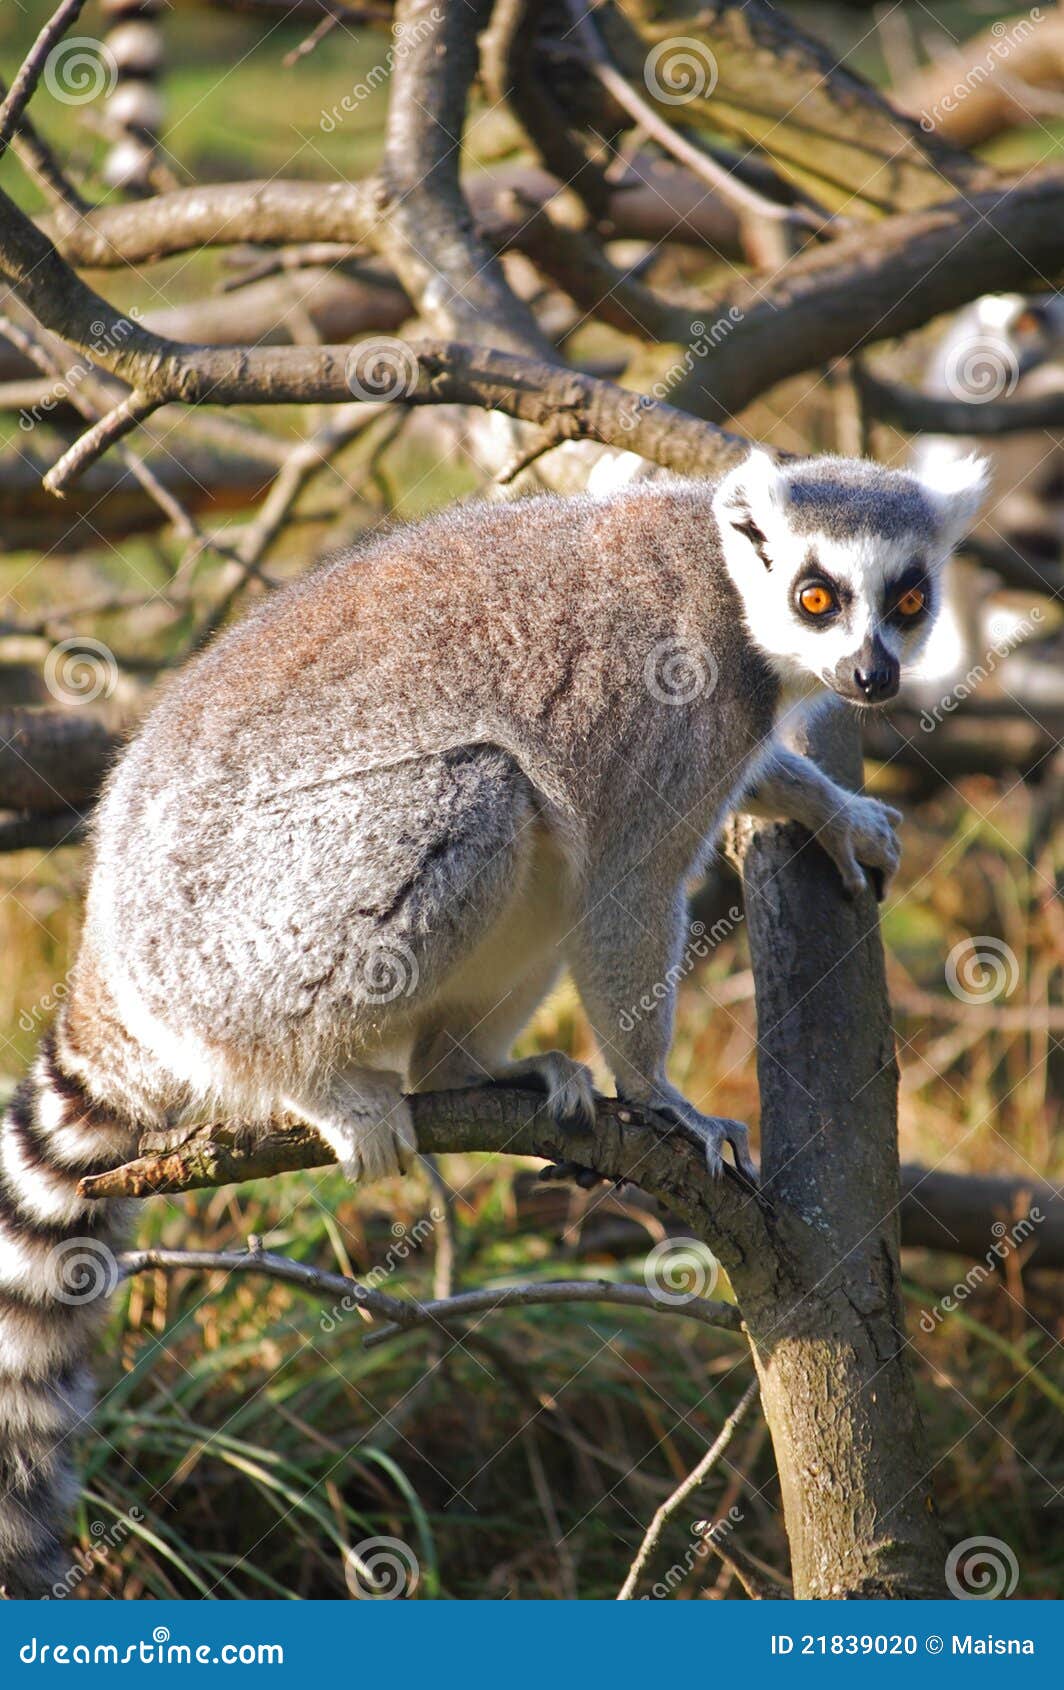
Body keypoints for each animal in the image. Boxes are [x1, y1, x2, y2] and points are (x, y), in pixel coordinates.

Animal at [0, 446, 986, 1595]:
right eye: (816, 596)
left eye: (909, 600)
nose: (872, 678)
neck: (726, 588)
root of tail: (105, 955)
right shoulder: (678, 711)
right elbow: (625, 890)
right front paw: (660, 1096)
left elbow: (731, 795)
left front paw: (827, 807)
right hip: (242, 942)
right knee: (488, 793)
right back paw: (314, 1081)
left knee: (537, 857)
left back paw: (472, 1070)